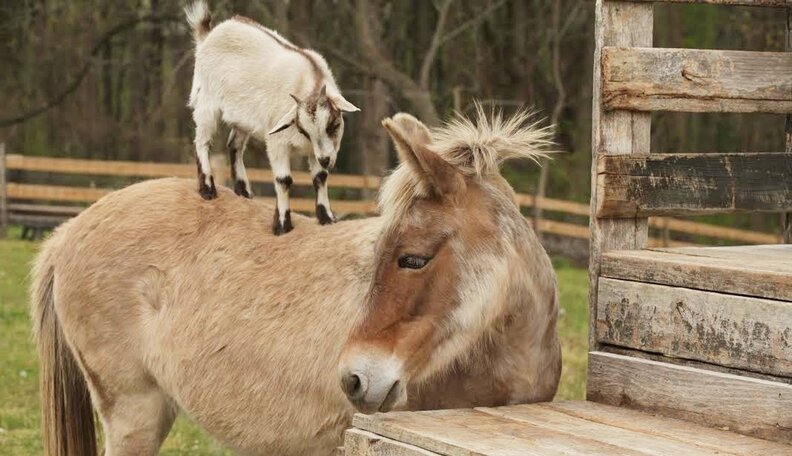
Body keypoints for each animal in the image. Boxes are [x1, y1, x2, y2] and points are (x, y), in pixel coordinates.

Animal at [185, 1, 360, 234]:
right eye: (302, 129)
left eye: (334, 124)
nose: (326, 160)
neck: (309, 83)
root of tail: (207, 35)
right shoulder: (277, 142)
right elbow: (284, 180)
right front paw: (282, 225)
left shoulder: (316, 148)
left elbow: (320, 177)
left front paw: (326, 217)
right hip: (206, 100)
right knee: (202, 141)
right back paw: (207, 189)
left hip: (242, 118)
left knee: (234, 145)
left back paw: (244, 192)